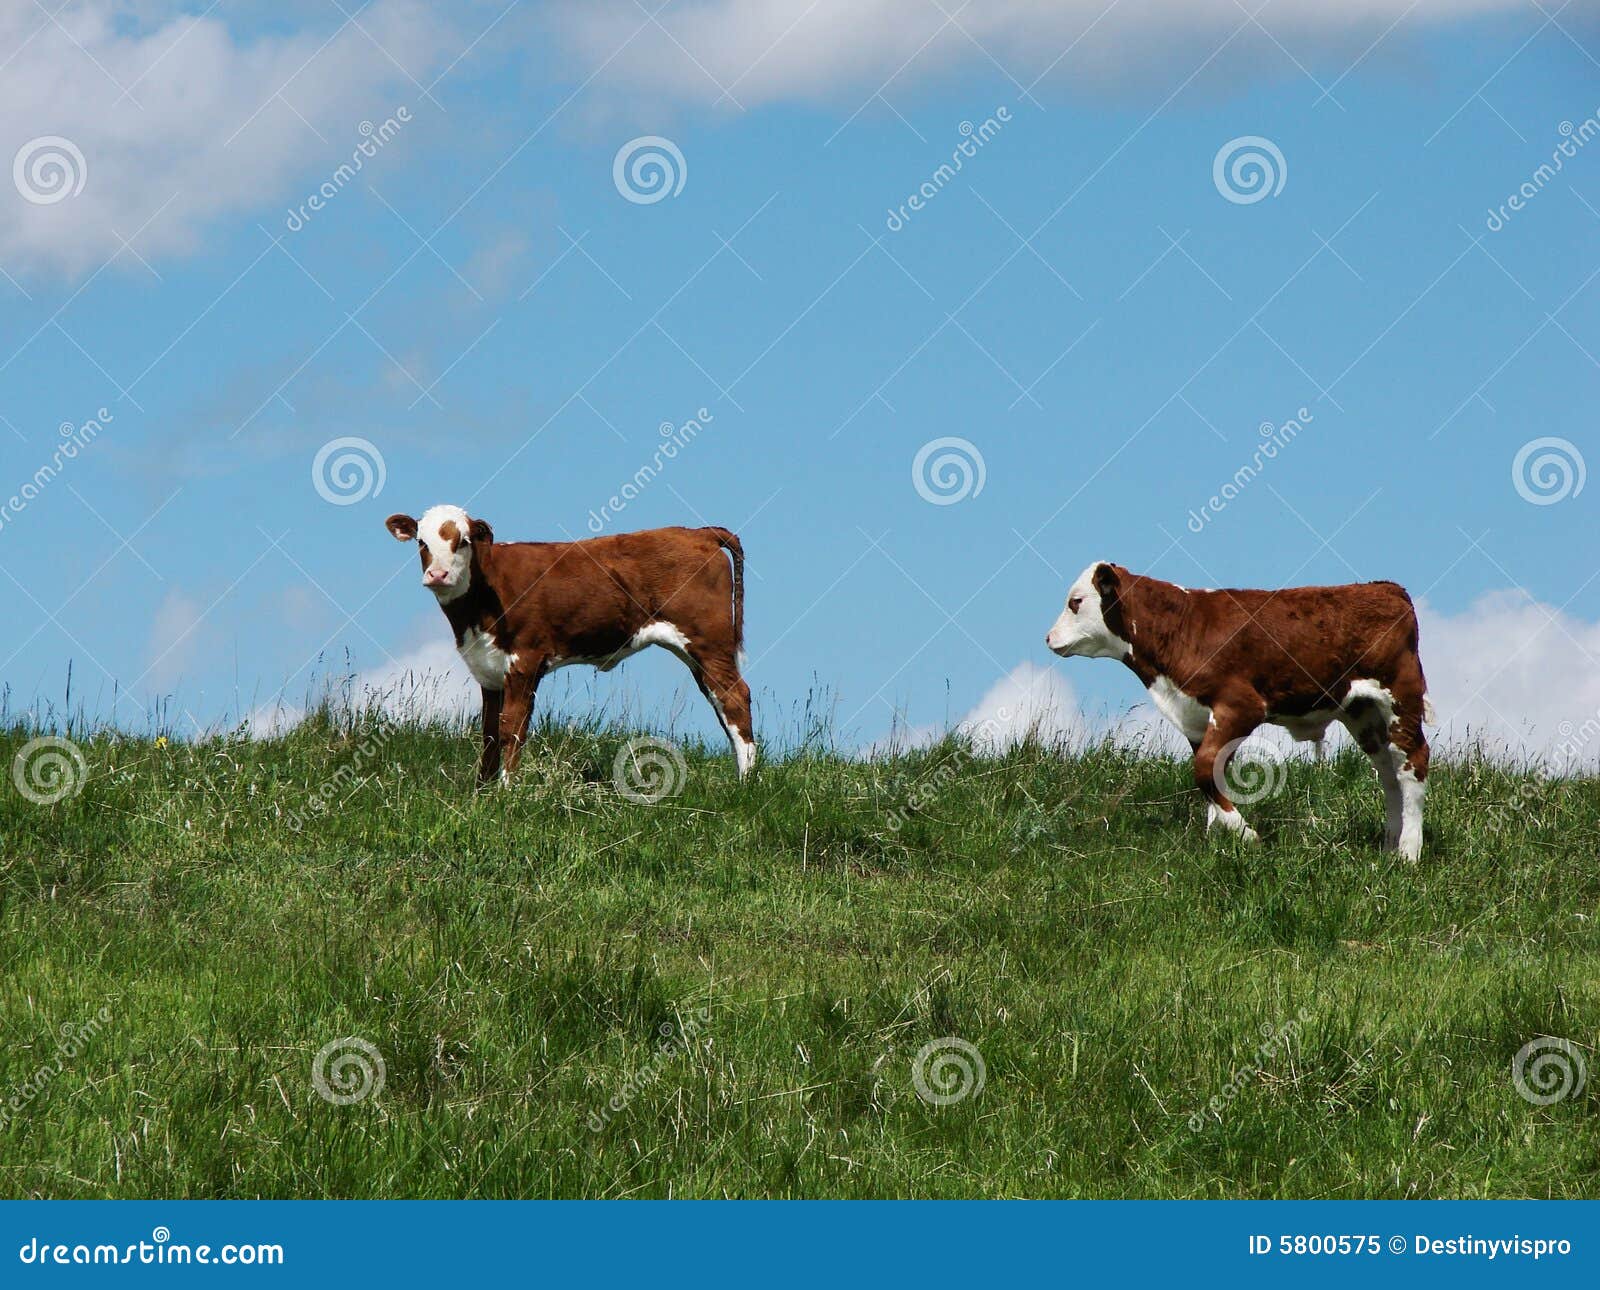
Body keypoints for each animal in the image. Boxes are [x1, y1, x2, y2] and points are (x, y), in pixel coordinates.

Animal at [385, 505, 755, 783]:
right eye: (422, 543)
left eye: (462, 542)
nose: (438, 575)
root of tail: (698, 532)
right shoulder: (487, 667)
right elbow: (488, 733)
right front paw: (480, 793)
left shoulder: (525, 660)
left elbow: (512, 728)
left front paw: (505, 792)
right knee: (722, 704)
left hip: (709, 640)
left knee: (736, 697)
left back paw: (746, 785)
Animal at [1046, 563, 1433, 858]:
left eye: (1076, 602)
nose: (1048, 638)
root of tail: (1386, 588)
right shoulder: (1197, 720)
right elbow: (1213, 774)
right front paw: (1215, 842)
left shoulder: (1240, 705)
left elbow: (1203, 769)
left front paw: (1246, 835)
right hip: (1363, 712)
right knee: (1388, 772)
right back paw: (1390, 845)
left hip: (1401, 695)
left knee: (1412, 762)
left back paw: (1409, 852)